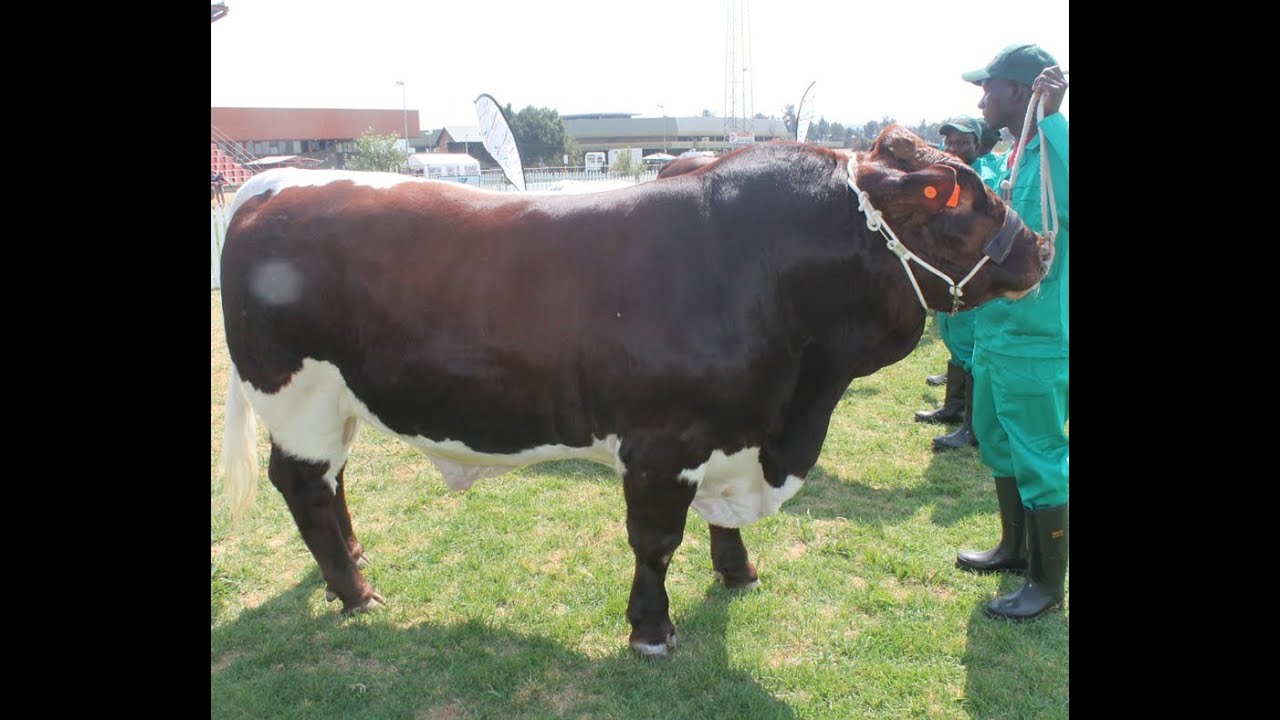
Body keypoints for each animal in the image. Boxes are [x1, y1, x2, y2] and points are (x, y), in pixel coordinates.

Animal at [219, 126, 1052, 657]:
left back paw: (353, 562)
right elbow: (656, 542)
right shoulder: (662, 444)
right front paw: (652, 631)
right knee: (303, 483)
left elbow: (717, 525)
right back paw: (356, 590)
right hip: (296, 399)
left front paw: (739, 572)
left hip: (338, 403)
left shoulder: (731, 434)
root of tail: (276, 181)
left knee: (333, 481)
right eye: (957, 200)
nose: (1043, 247)